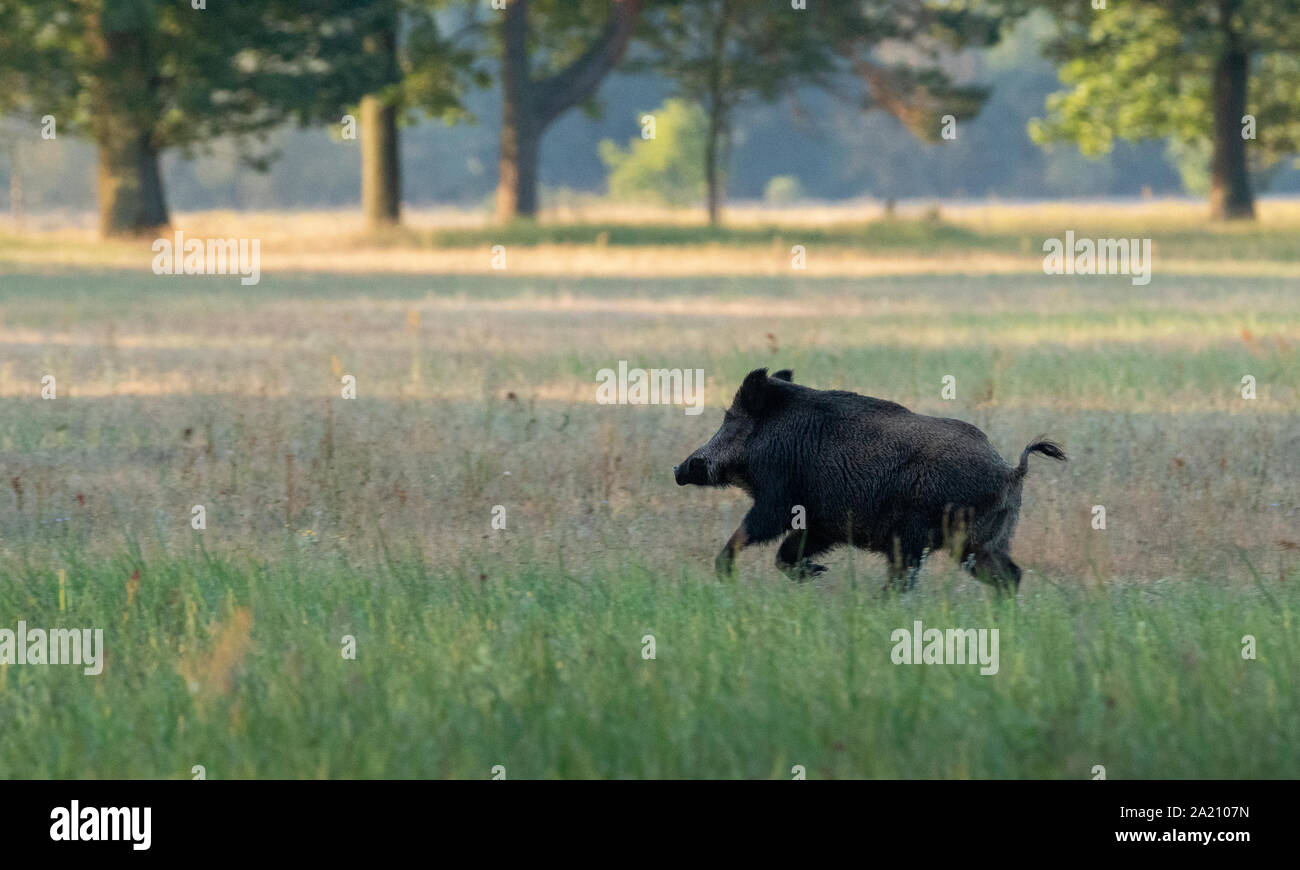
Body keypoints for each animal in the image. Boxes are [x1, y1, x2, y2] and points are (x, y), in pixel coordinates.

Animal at [673, 368, 1066, 591]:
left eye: (729, 418)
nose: (678, 470)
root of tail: (1011, 471)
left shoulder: (779, 499)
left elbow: (752, 532)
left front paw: (723, 571)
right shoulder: (823, 524)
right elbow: (786, 554)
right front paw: (818, 572)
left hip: (919, 536)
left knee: (903, 579)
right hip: (981, 541)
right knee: (1010, 575)